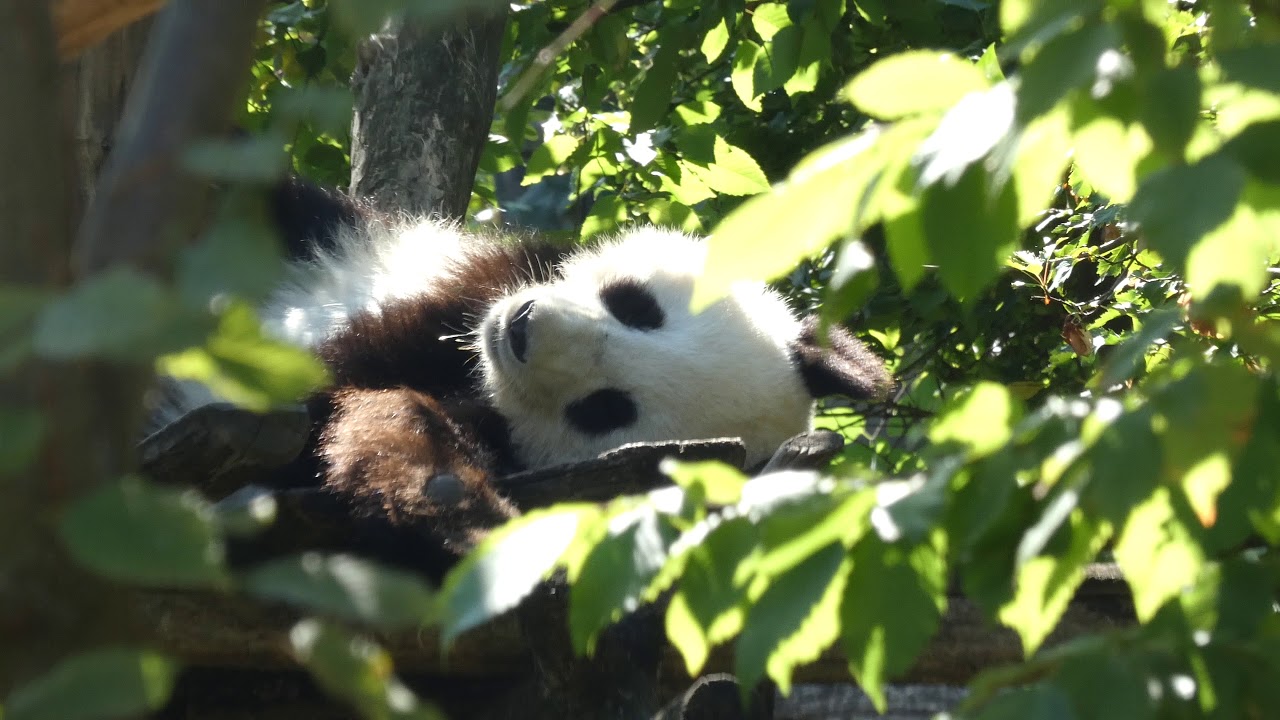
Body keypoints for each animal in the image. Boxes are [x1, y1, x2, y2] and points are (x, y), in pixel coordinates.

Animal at [160, 177, 893, 579]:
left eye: (604, 409)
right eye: (638, 308)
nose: (522, 327)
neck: (467, 360)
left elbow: (349, 418)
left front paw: (451, 507)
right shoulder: (409, 267)